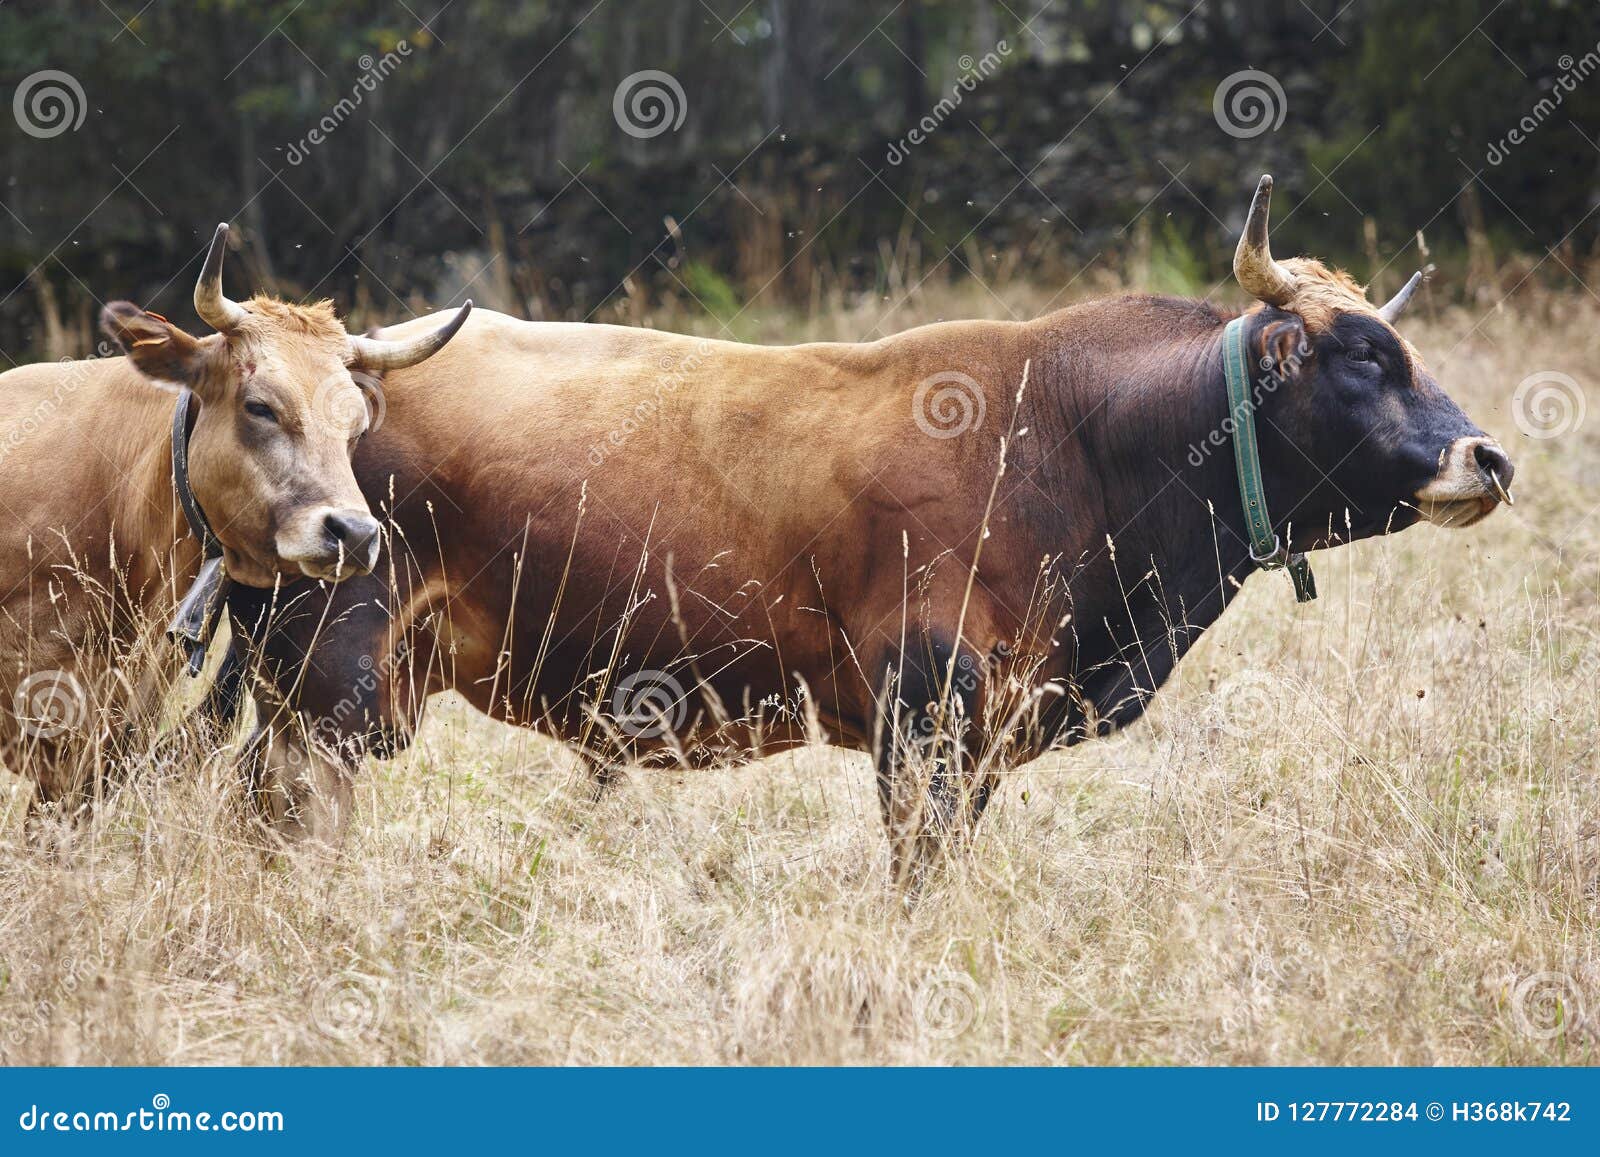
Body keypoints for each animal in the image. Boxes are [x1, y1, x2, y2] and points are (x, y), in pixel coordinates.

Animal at [224, 176, 1513, 880]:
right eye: (1364, 355)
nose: (1488, 456)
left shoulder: (985, 728)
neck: (1075, 433)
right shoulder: (926, 709)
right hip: (331, 677)